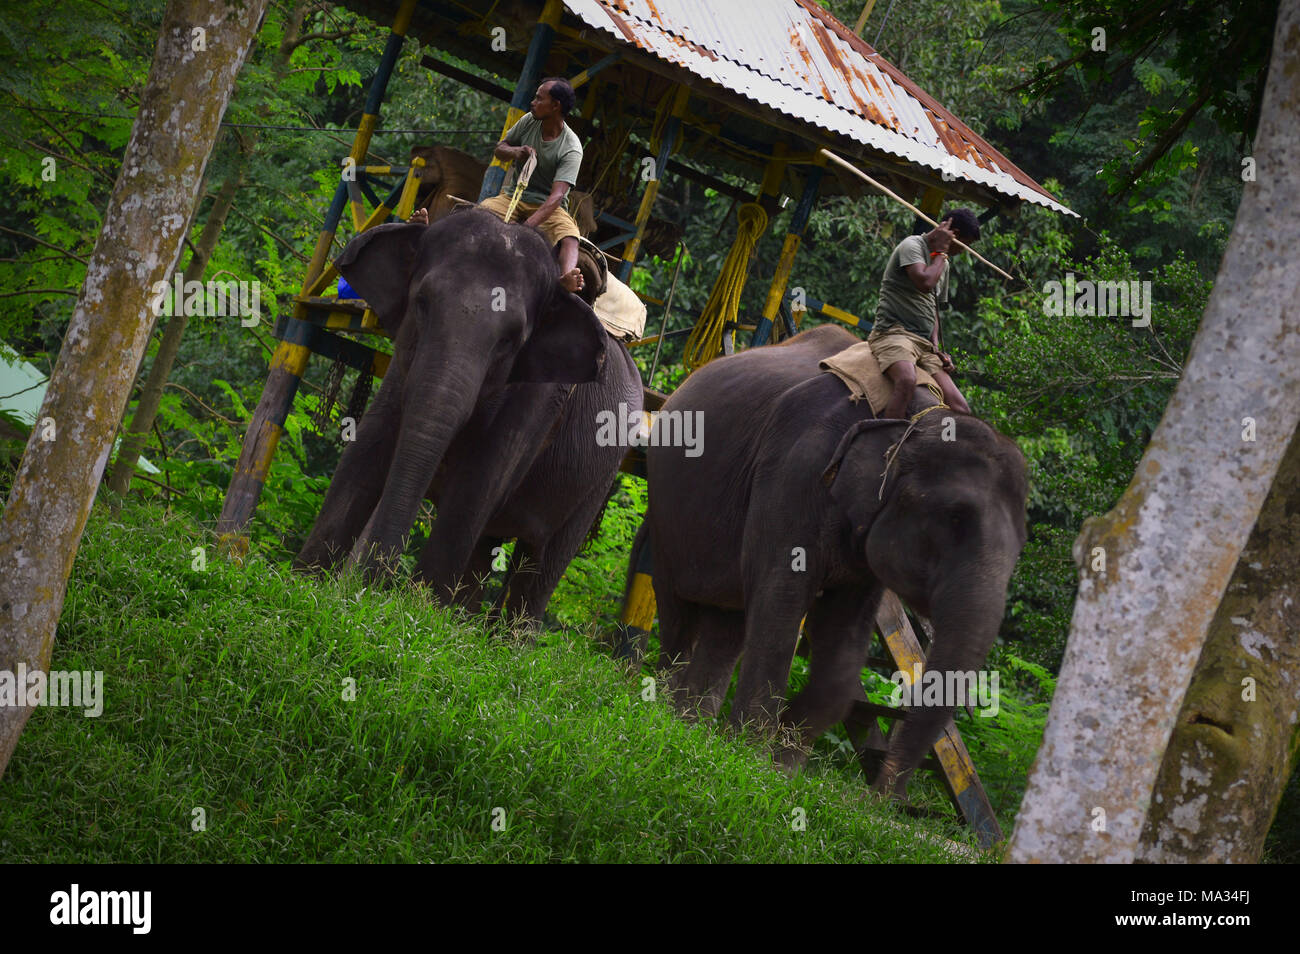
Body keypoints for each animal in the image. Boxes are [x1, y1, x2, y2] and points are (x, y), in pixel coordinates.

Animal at [296, 207, 642, 622]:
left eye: (510, 339)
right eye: (422, 303)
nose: (369, 587)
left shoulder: (535, 402)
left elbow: (473, 489)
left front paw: (418, 614)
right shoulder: (401, 367)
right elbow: (365, 452)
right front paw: (307, 584)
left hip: (599, 479)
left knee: (540, 565)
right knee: (487, 545)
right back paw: (463, 621)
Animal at [639, 324, 1027, 796]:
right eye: (954, 518)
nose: (877, 799)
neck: (917, 419)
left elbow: (843, 647)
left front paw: (778, 764)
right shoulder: (796, 472)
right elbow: (780, 606)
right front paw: (748, 755)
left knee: (727, 621)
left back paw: (689, 726)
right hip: (665, 501)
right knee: (678, 604)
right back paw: (665, 711)